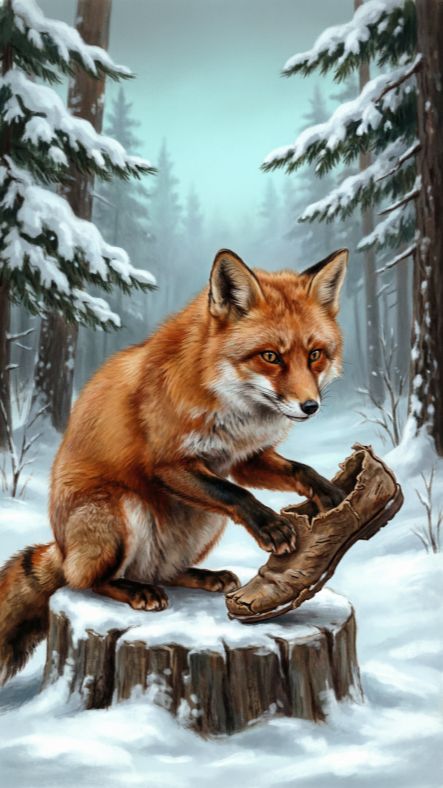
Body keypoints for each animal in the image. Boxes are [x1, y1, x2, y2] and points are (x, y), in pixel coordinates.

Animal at [0, 247, 349, 683]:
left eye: (315, 355)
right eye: (270, 356)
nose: (310, 406)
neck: (230, 404)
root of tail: (62, 548)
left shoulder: (246, 459)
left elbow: (298, 471)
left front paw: (331, 493)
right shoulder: (167, 464)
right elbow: (236, 493)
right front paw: (271, 525)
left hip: (205, 522)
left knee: (164, 571)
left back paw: (201, 576)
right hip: (121, 510)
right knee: (89, 581)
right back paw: (134, 590)